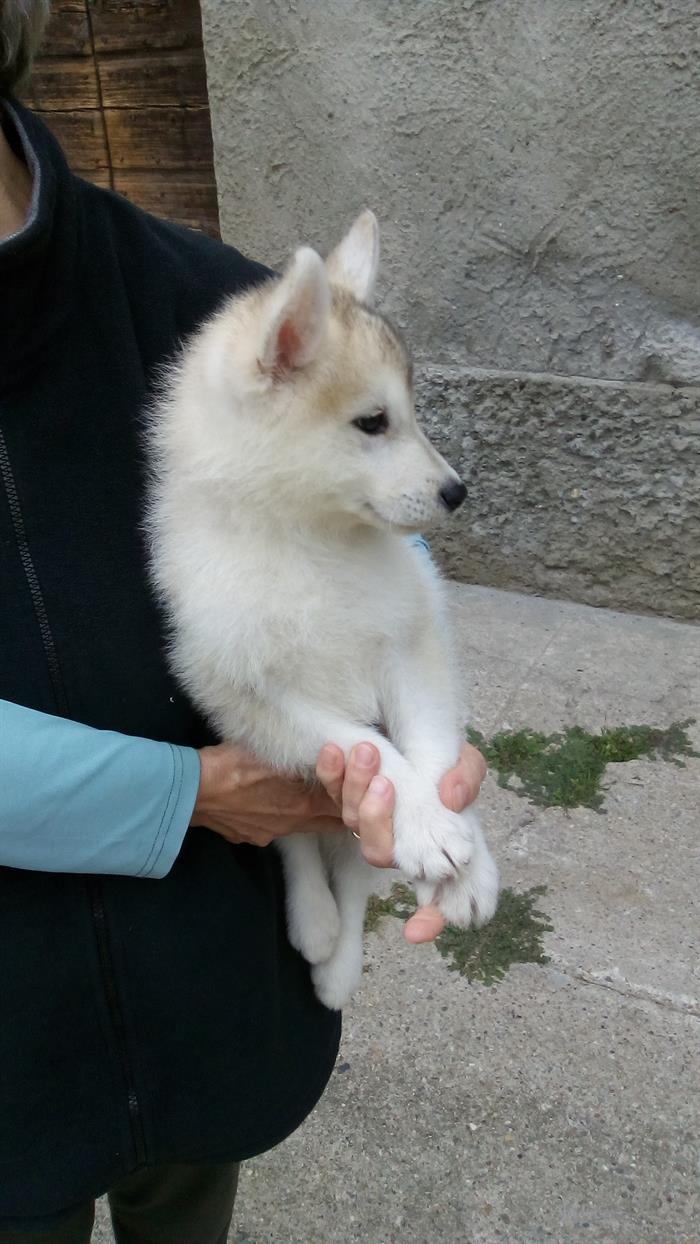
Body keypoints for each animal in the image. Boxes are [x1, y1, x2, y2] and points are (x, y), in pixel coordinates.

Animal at [147, 213, 497, 1010]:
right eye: (373, 422)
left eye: (411, 411)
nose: (457, 492)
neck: (309, 541)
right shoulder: (258, 698)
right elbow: (379, 756)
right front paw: (423, 823)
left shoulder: (413, 643)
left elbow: (432, 753)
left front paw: (463, 858)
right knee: (300, 845)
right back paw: (316, 925)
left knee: (357, 876)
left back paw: (340, 966)